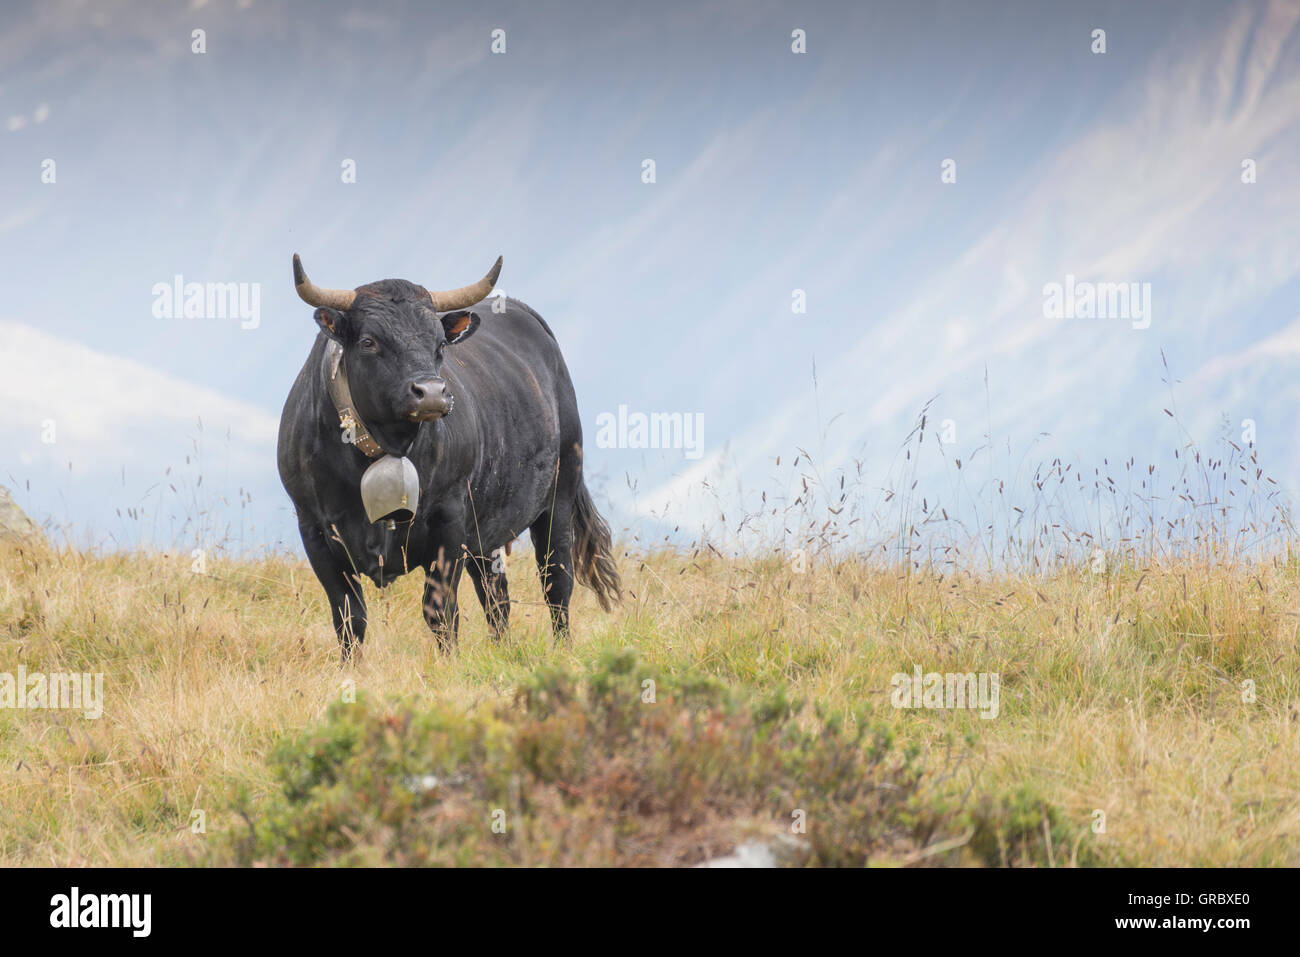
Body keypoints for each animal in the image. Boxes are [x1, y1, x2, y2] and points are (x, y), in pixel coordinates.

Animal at [277, 254, 621, 658]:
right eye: (368, 341)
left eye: (440, 343)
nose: (431, 393)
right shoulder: (314, 528)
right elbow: (348, 616)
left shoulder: (450, 519)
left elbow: (439, 610)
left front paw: (448, 662)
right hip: (490, 528)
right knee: (496, 597)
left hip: (558, 497)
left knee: (556, 583)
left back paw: (562, 650)